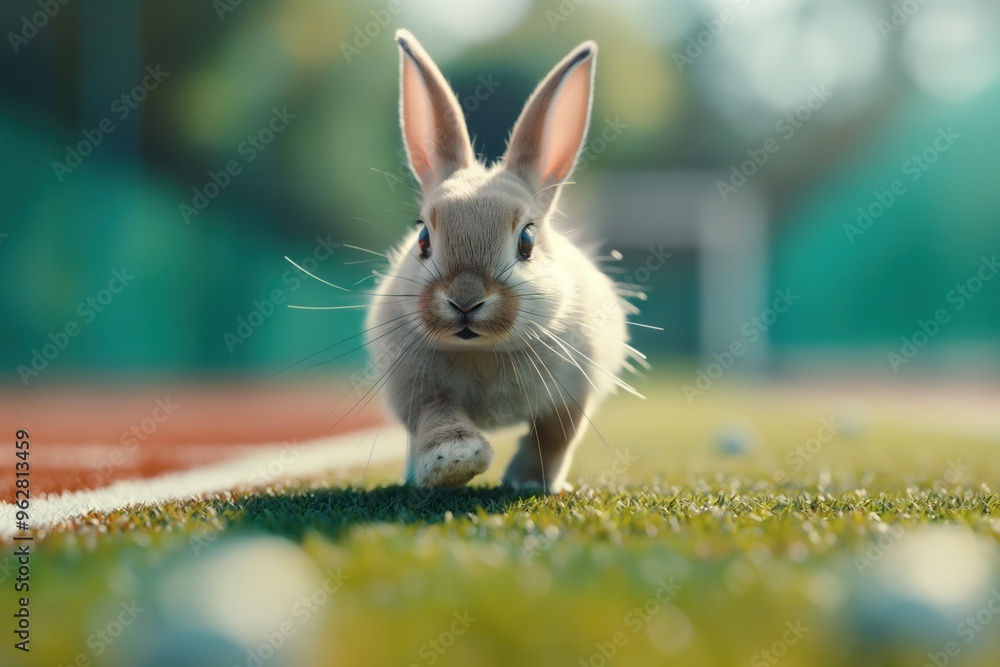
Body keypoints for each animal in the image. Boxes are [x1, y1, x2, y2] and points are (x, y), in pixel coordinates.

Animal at [364, 29, 642, 493]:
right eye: (422, 238)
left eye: (527, 240)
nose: (465, 300)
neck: (484, 349)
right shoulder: (418, 389)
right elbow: (435, 416)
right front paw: (455, 461)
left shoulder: (571, 395)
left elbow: (553, 439)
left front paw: (528, 483)